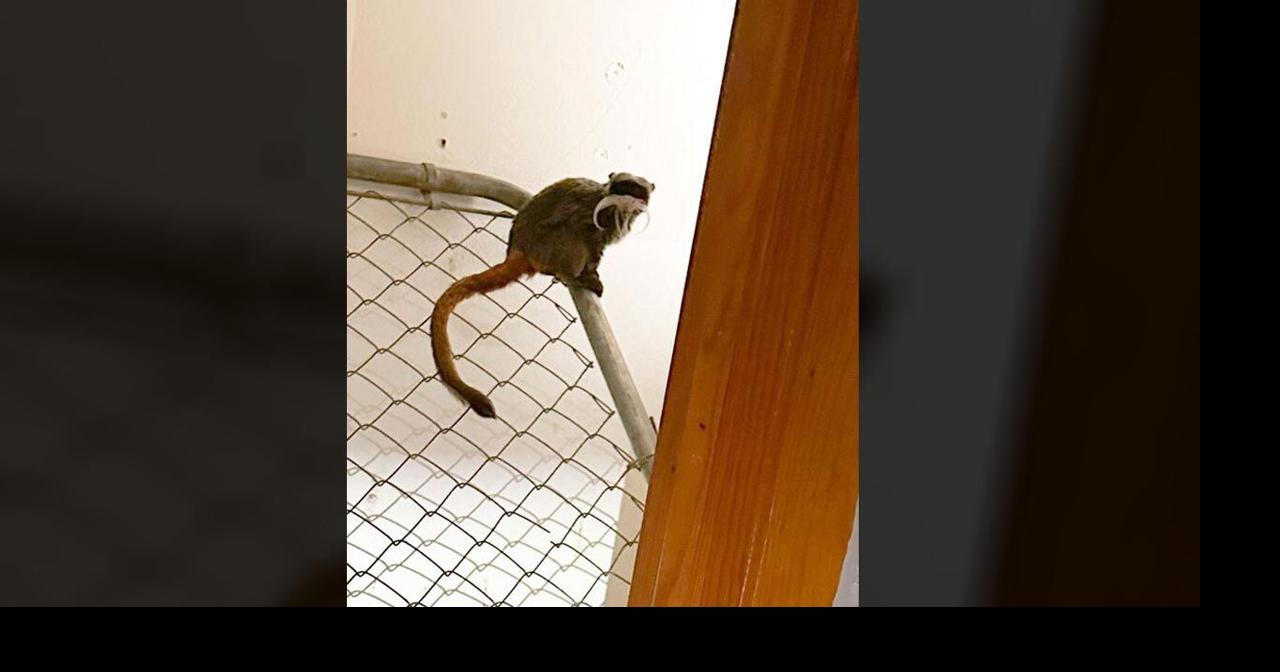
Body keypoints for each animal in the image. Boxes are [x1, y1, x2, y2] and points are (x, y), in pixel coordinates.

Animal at [431, 172, 655, 419]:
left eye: (634, 189)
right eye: (620, 186)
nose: (620, 196)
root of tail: (520, 248)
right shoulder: (594, 210)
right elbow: (581, 227)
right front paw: (588, 273)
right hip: (548, 246)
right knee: (573, 232)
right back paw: (573, 276)